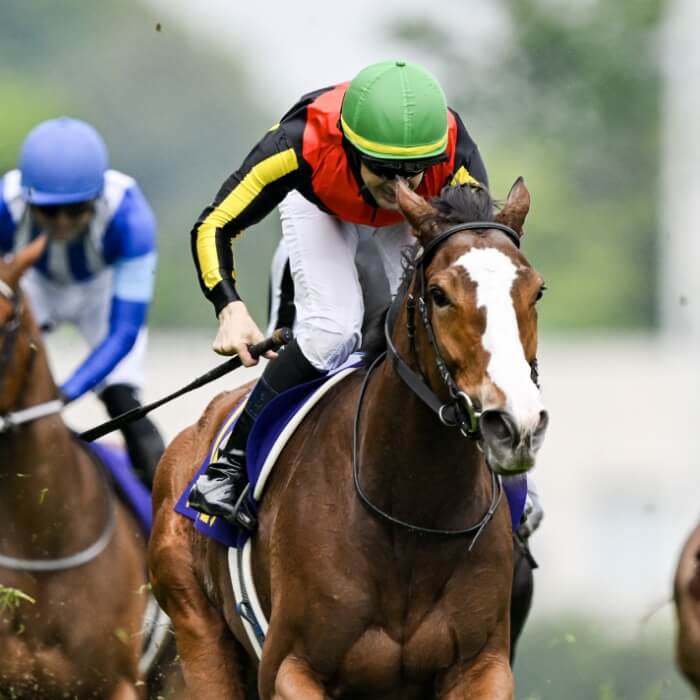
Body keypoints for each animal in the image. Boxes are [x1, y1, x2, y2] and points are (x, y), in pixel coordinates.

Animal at [149, 177, 549, 699]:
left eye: (536, 292)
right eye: (439, 294)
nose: (515, 424)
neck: (411, 513)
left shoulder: (482, 666)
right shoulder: (290, 667)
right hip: (199, 632)